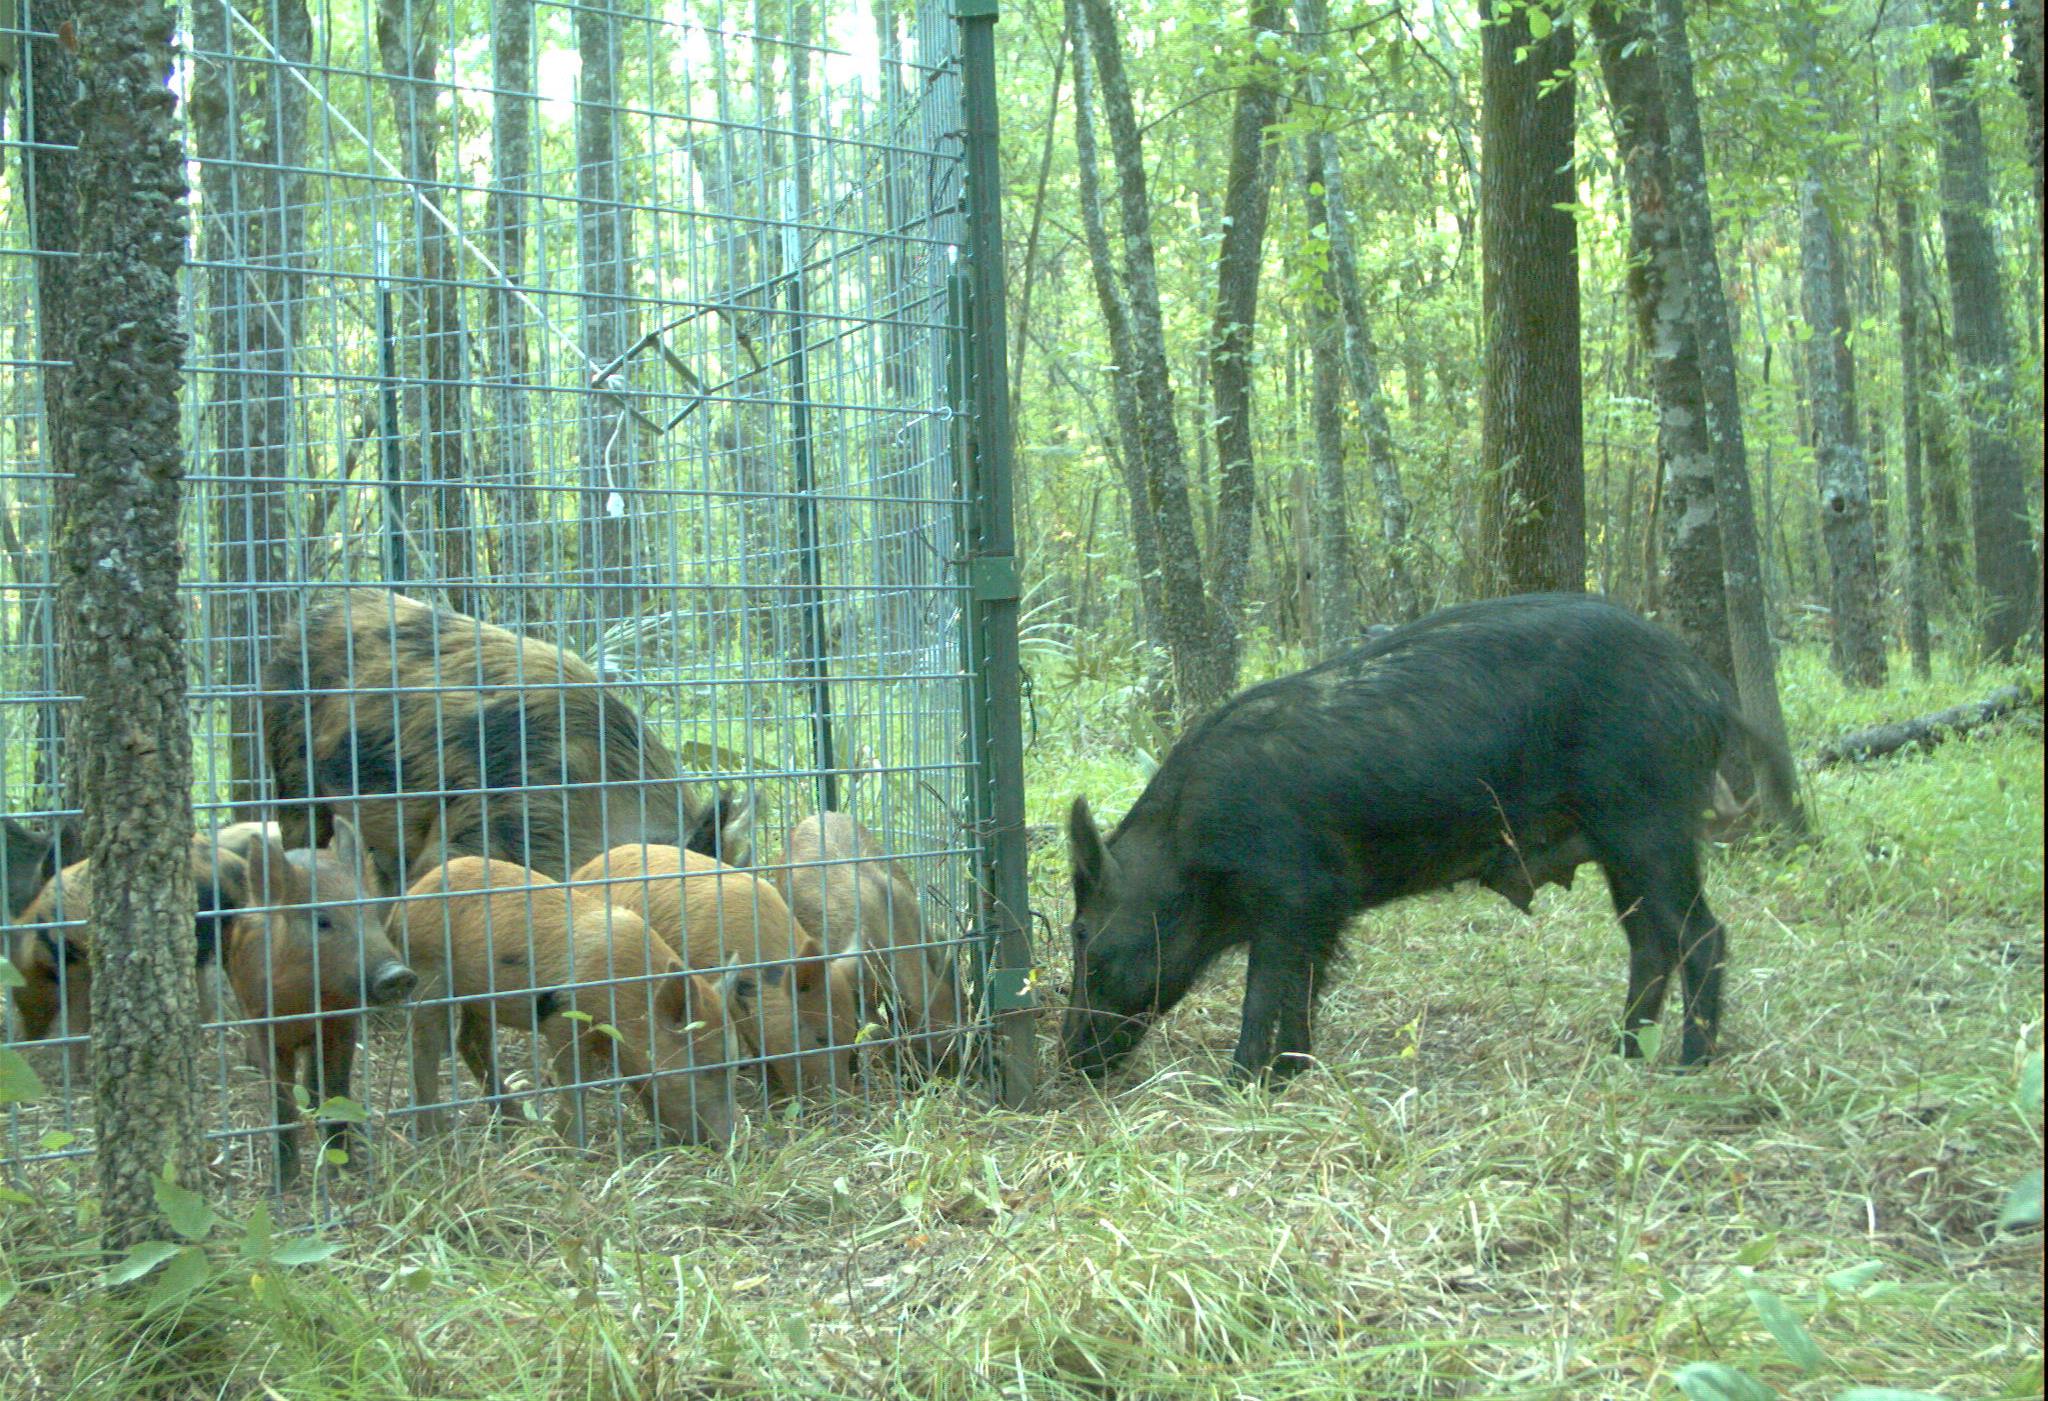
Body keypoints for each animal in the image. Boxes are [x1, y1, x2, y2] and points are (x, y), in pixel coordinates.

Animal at [391, 857, 738, 1148]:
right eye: (706, 1067)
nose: (729, 1144)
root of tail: (404, 903)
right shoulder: (562, 1019)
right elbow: (575, 1082)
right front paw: (577, 1148)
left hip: (479, 998)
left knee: (470, 1041)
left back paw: (515, 1119)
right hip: (428, 977)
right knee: (423, 1050)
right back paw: (436, 1136)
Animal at [1064, 593, 1802, 1082]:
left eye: (1081, 933)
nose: (1068, 1058)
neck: (1186, 850)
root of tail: (1706, 688)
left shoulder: (1294, 894)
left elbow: (1265, 991)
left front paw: (1239, 1083)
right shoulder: (1317, 915)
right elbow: (1301, 992)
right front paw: (1291, 1073)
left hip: (1649, 823)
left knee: (1703, 935)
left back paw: (1686, 1067)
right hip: (1622, 844)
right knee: (1649, 942)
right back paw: (1620, 1053)